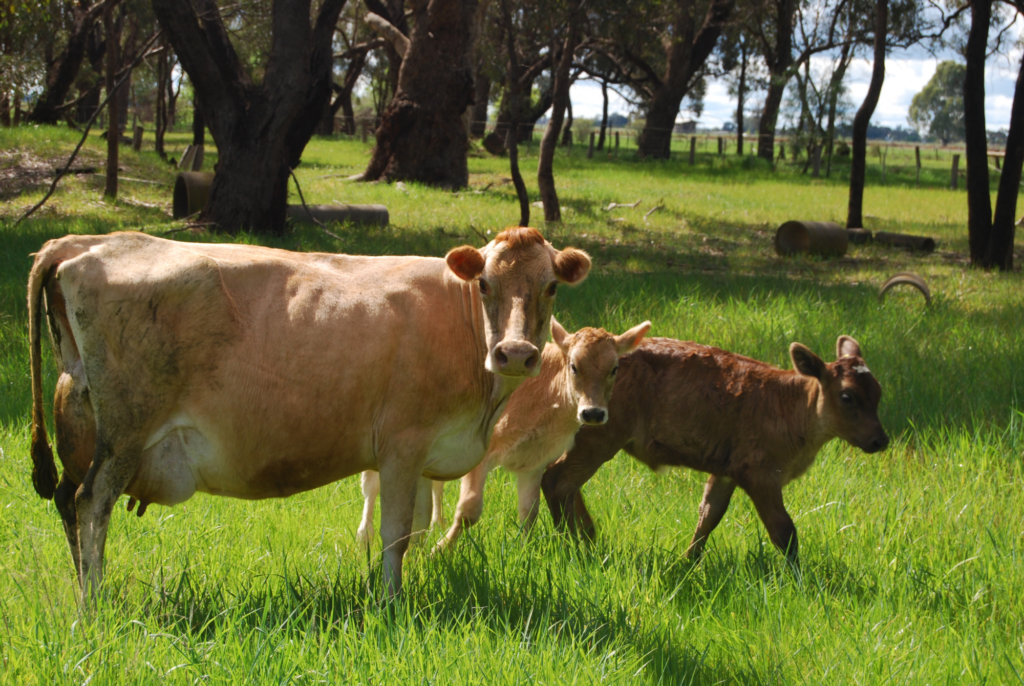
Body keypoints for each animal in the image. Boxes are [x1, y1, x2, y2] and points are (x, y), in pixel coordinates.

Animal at [27, 227, 590, 601]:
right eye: (485, 285)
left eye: (550, 286)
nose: (515, 353)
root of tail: (87, 241)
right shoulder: (402, 444)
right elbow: (395, 531)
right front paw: (391, 603)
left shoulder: (420, 452)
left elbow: (418, 526)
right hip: (126, 432)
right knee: (91, 504)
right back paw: (95, 604)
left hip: (84, 427)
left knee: (67, 502)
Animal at [356, 317, 651, 550]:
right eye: (574, 366)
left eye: (615, 368)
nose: (593, 413)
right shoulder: (482, 452)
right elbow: (469, 510)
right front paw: (439, 551)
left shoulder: (535, 463)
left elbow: (529, 512)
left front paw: (523, 553)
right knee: (371, 485)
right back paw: (365, 536)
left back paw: (436, 522)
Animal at [541, 336, 888, 564]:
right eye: (847, 396)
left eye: (878, 392)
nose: (880, 440)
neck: (789, 405)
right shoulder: (760, 473)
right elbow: (784, 531)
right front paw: (799, 581)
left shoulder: (726, 471)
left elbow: (709, 515)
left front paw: (687, 562)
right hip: (600, 435)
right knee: (557, 480)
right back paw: (570, 545)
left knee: (566, 484)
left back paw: (589, 538)